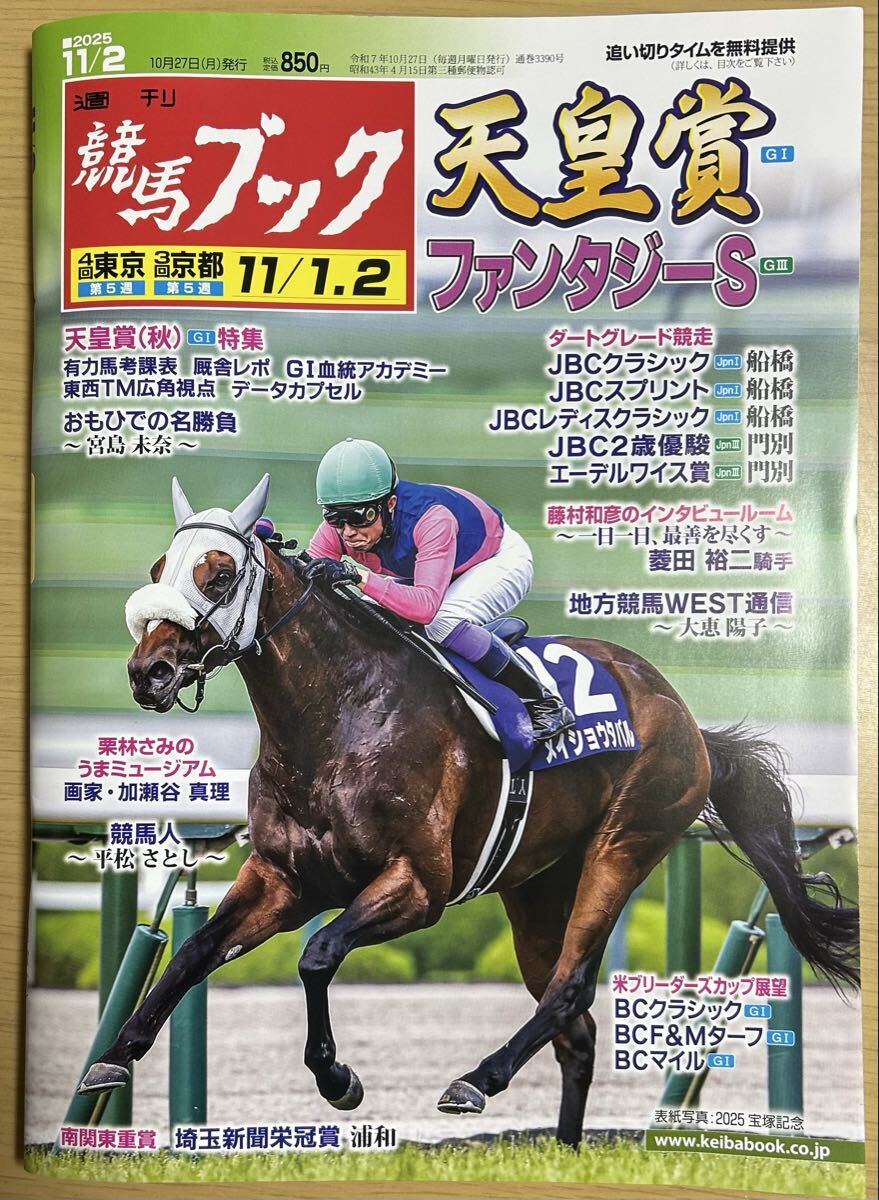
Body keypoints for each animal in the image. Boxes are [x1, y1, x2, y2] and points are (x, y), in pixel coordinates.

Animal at [78, 475, 859, 1147]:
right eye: (160, 565)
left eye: (218, 574)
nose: (148, 672)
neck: (338, 719)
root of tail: (686, 717)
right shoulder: (283, 878)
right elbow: (194, 952)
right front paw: (115, 1054)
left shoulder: (419, 886)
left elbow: (317, 955)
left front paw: (337, 1079)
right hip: (538, 886)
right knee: (575, 1025)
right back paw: (565, 1149)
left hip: (627, 841)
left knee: (570, 986)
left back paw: (476, 1080)